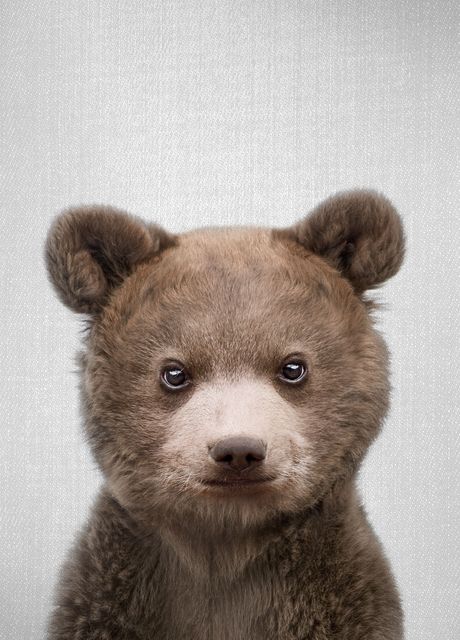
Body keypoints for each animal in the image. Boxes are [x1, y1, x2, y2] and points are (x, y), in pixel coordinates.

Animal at [44, 189, 405, 640]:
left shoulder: (339, 598)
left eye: (293, 367)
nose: (238, 450)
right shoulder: (111, 595)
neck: (226, 544)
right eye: (175, 373)